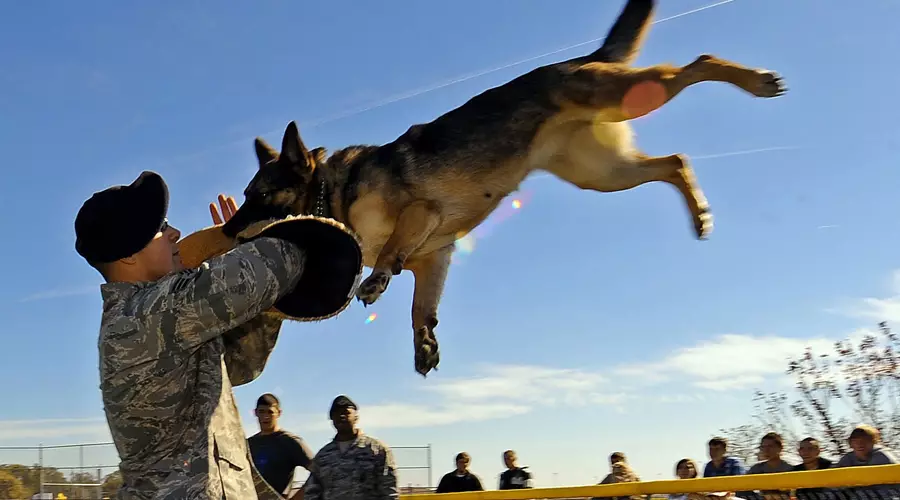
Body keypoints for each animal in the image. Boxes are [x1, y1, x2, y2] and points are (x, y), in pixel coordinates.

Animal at [223, 0, 788, 376]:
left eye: (257, 196)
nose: (227, 233)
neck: (332, 192)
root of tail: (580, 58)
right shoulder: (436, 257)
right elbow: (420, 309)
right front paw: (423, 345)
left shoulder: (421, 216)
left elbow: (390, 255)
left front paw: (378, 279)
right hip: (604, 175)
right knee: (675, 161)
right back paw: (700, 213)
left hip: (626, 98)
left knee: (700, 63)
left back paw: (758, 81)